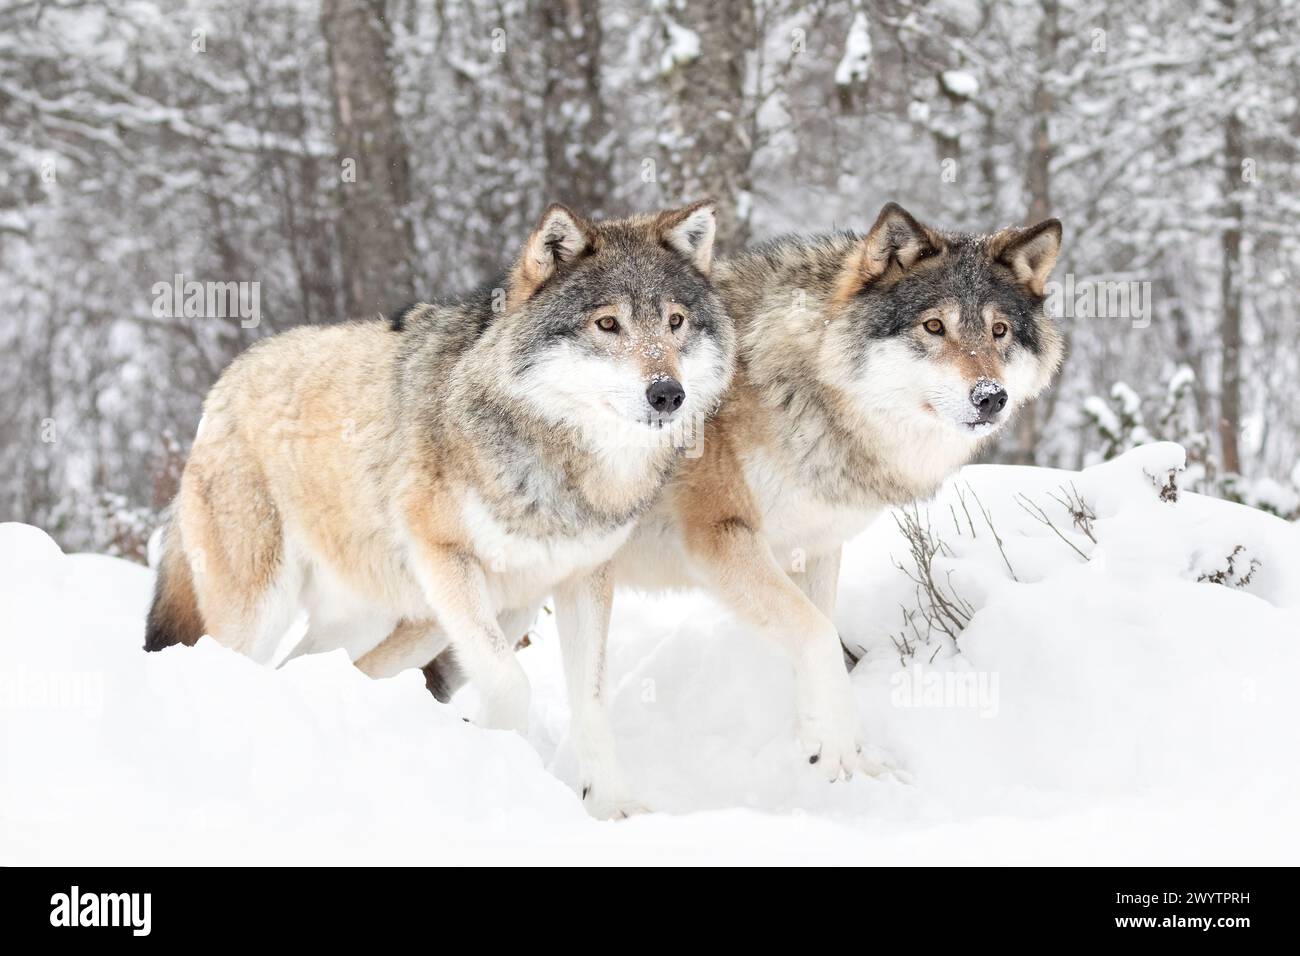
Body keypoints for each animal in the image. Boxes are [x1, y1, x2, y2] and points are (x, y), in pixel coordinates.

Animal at [143, 200, 734, 818]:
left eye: (675, 322)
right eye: (608, 324)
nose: (667, 393)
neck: (562, 462)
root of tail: (224, 382)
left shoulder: (584, 579)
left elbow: (591, 703)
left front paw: (613, 807)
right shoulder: (444, 556)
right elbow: (510, 682)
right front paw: (495, 762)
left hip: (397, 620)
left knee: (316, 670)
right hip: (268, 612)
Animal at [417, 202, 1063, 782]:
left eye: (1000, 332)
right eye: (934, 327)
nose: (991, 397)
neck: (802, 390)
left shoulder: (814, 548)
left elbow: (815, 640)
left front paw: (826, 754)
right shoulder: (720, 539)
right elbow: (817, 636)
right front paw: (840, 753)